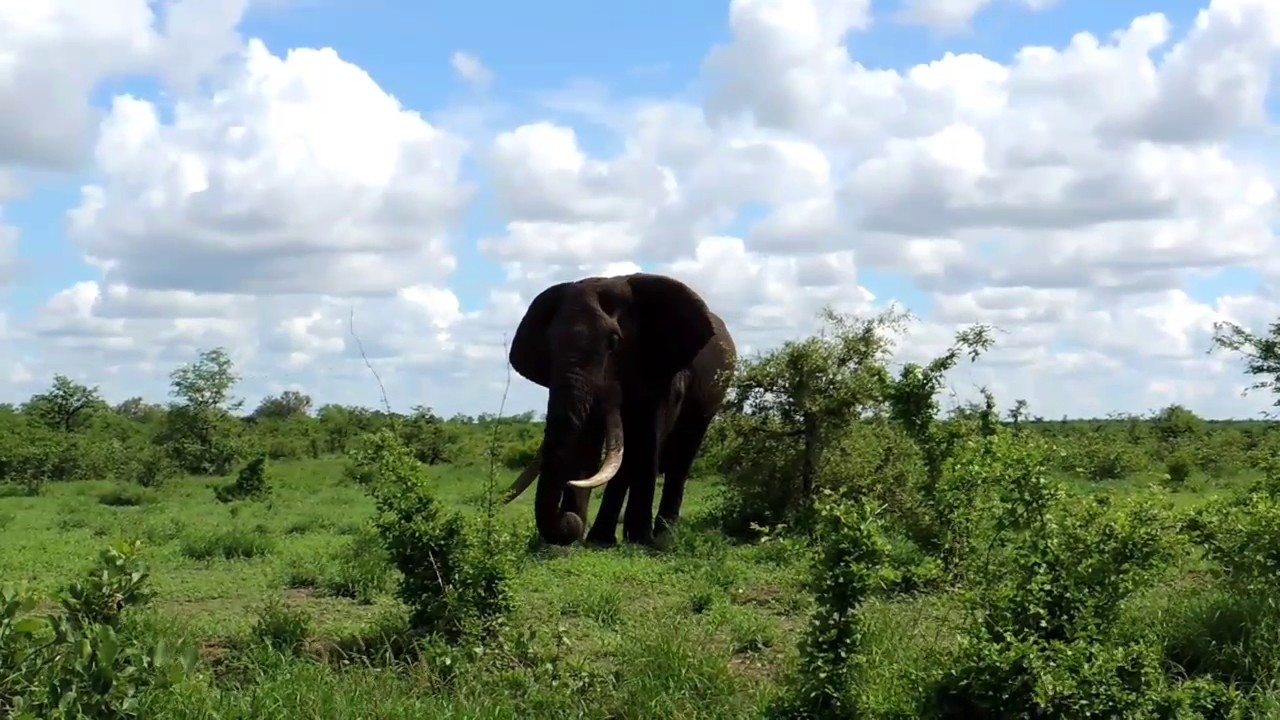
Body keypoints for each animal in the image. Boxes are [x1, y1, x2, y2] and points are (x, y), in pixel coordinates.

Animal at [500, 272, 737, 548]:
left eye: (614, 342)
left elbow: (647, 440)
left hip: (710, 398)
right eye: (548, 347)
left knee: (680, 457)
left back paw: (663, 536)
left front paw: (640, 541)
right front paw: (575, 542)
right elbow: (588, 446)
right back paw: (601, 539)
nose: (568, 520)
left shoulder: (664, 370)